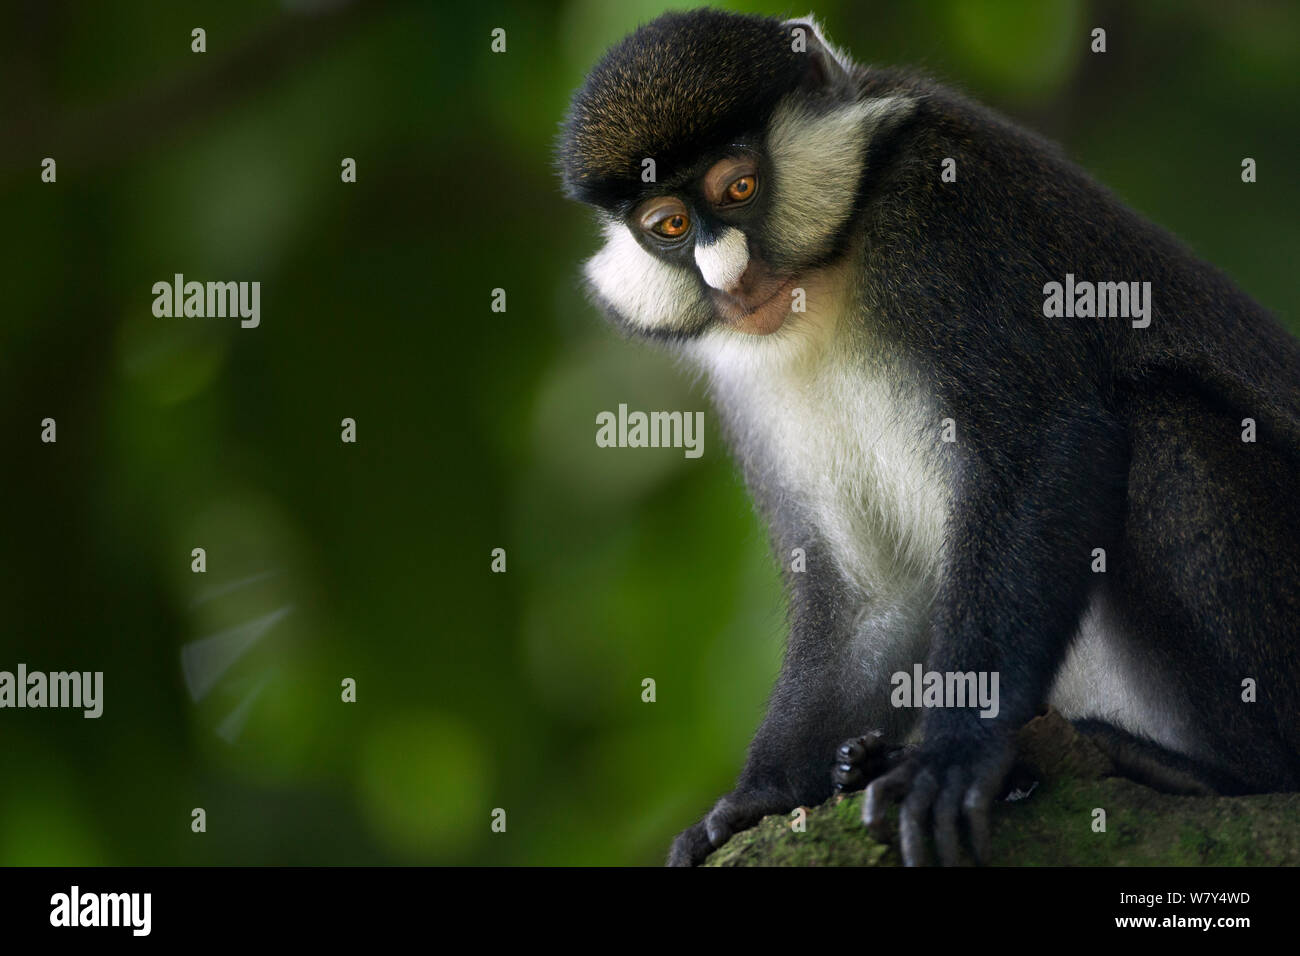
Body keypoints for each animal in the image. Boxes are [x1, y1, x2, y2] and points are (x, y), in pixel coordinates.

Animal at [557, 9, 1300, 866]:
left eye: (738, 187)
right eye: (669, 226)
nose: (728, 277)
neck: (830, 274)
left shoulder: (941, 215)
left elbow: (1042, 445)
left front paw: (951, 759)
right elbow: (868, 595)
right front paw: (757, 799)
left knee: (1169, 429)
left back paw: (1208, 771)